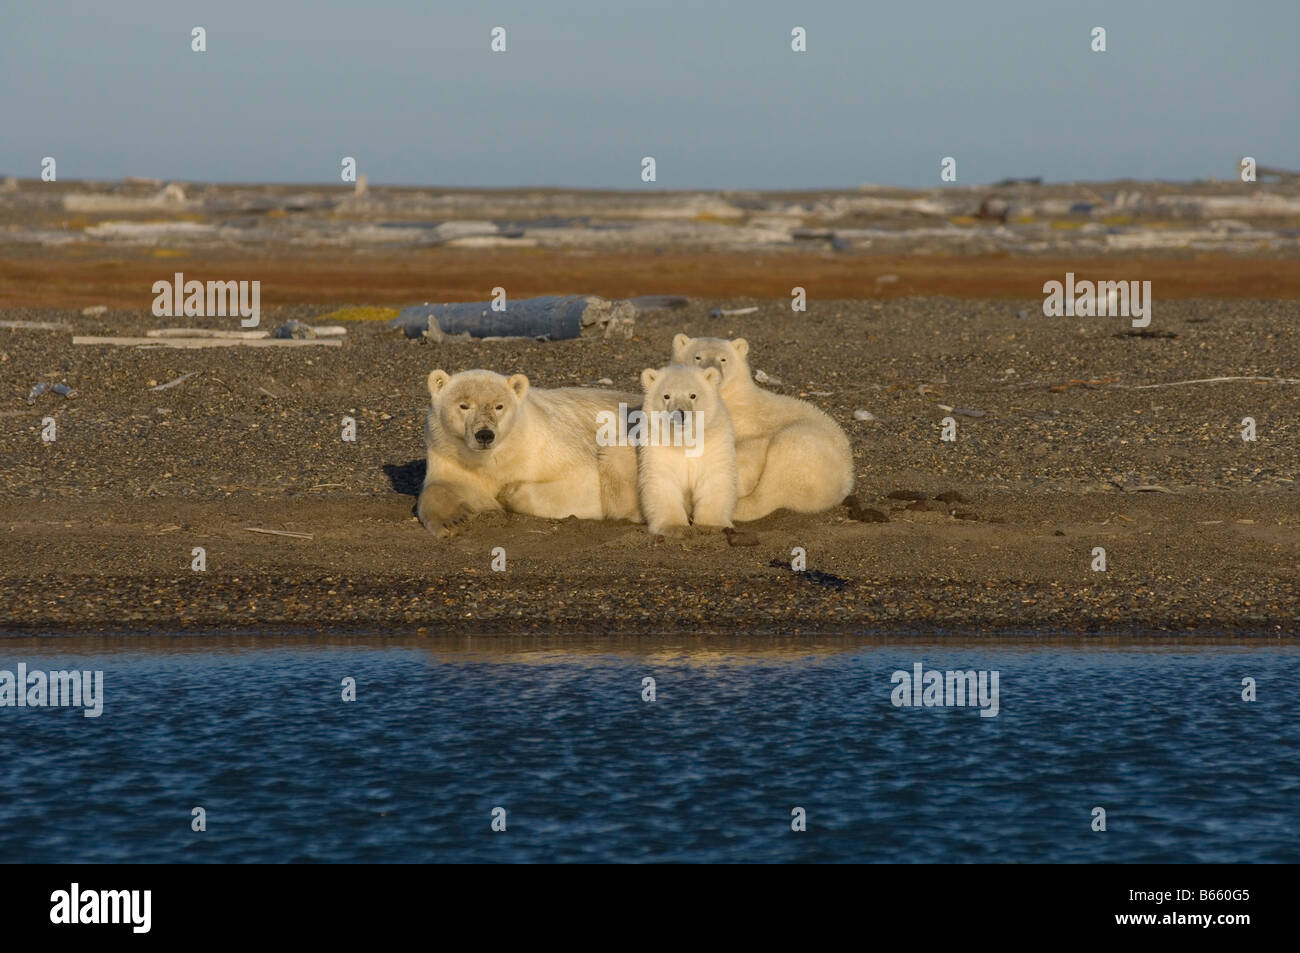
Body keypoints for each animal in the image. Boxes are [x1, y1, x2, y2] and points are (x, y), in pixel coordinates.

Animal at [417, 369, 641, 536]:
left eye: (499, 406)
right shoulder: (449, 454)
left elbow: (586, 483)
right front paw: (452, 521)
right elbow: (443, 485)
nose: (485, 435)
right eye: (464, 405)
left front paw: (507, 492)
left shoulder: (546, 447)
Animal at [636, 364, 738, 536]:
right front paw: (674, 527)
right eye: (666, 395)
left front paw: (711, 525)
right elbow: (662, 480)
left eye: (693, 395)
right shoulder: (658, 445)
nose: (679, 414)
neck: (683, 440)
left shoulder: (713, 441)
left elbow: (714, 477)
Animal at [670, 334, 854, 522]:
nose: (711, 371)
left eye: (723, 359)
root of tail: (846, 480)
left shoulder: (748, 424)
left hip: (807, 448)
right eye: (697, 357)